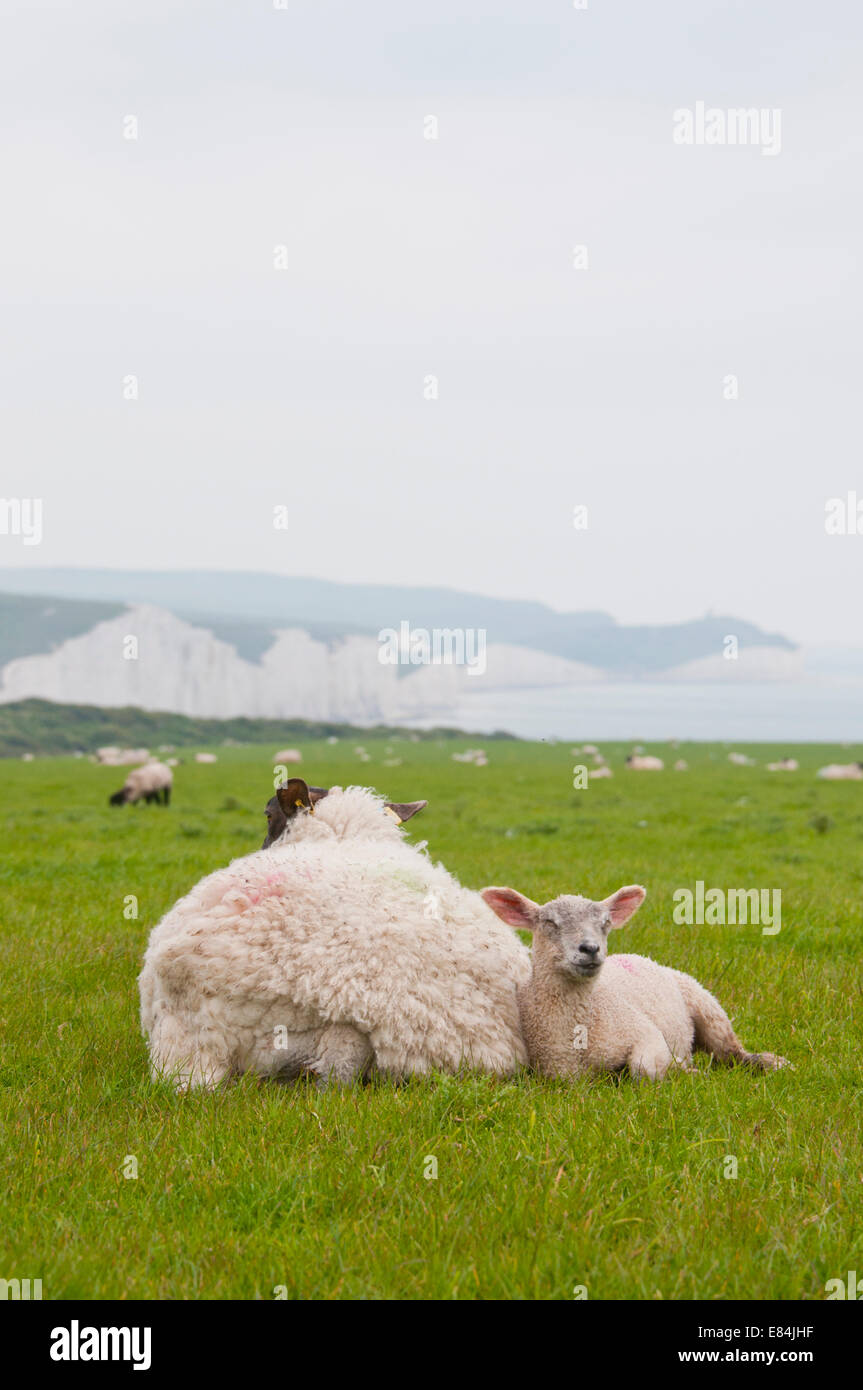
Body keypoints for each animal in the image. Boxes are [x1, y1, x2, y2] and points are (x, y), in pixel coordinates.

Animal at [481, 885, 789, 1082]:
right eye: (549, 923)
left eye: (606, 922)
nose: (590, 948)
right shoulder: (558, 1072)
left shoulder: (644, 1032)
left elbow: (644, 1068)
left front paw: (681, 1069)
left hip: (707, 1007)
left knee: (733, 1054)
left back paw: (771, 1063)